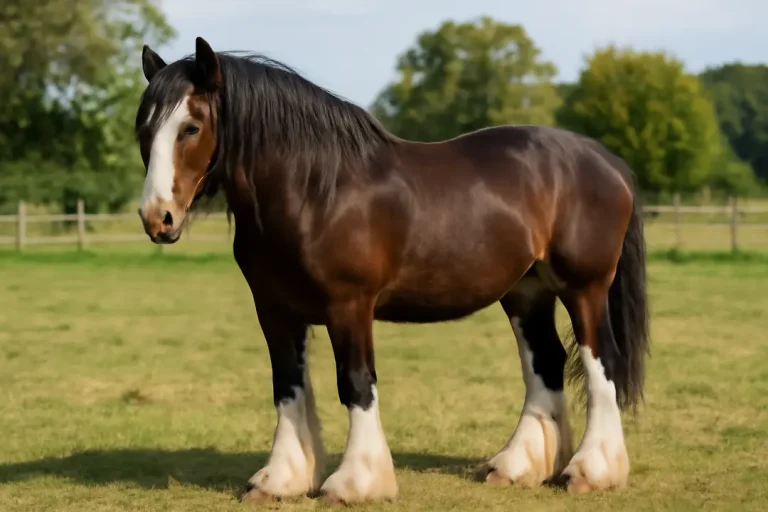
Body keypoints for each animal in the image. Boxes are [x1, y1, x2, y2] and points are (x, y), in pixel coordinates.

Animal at [135, 37, 650, 504]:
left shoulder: (349, 306)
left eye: (191, 127)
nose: (157, 218)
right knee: (545, 361)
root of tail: (609, 163)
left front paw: (355, 483)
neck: (314, 190)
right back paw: (516, 466)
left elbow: (356, 382)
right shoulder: (276, 311)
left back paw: (591, 470)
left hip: (584, 288)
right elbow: (287, 386)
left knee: (601, 361)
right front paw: (280, 480)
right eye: (144, 129)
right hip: (527, 291)